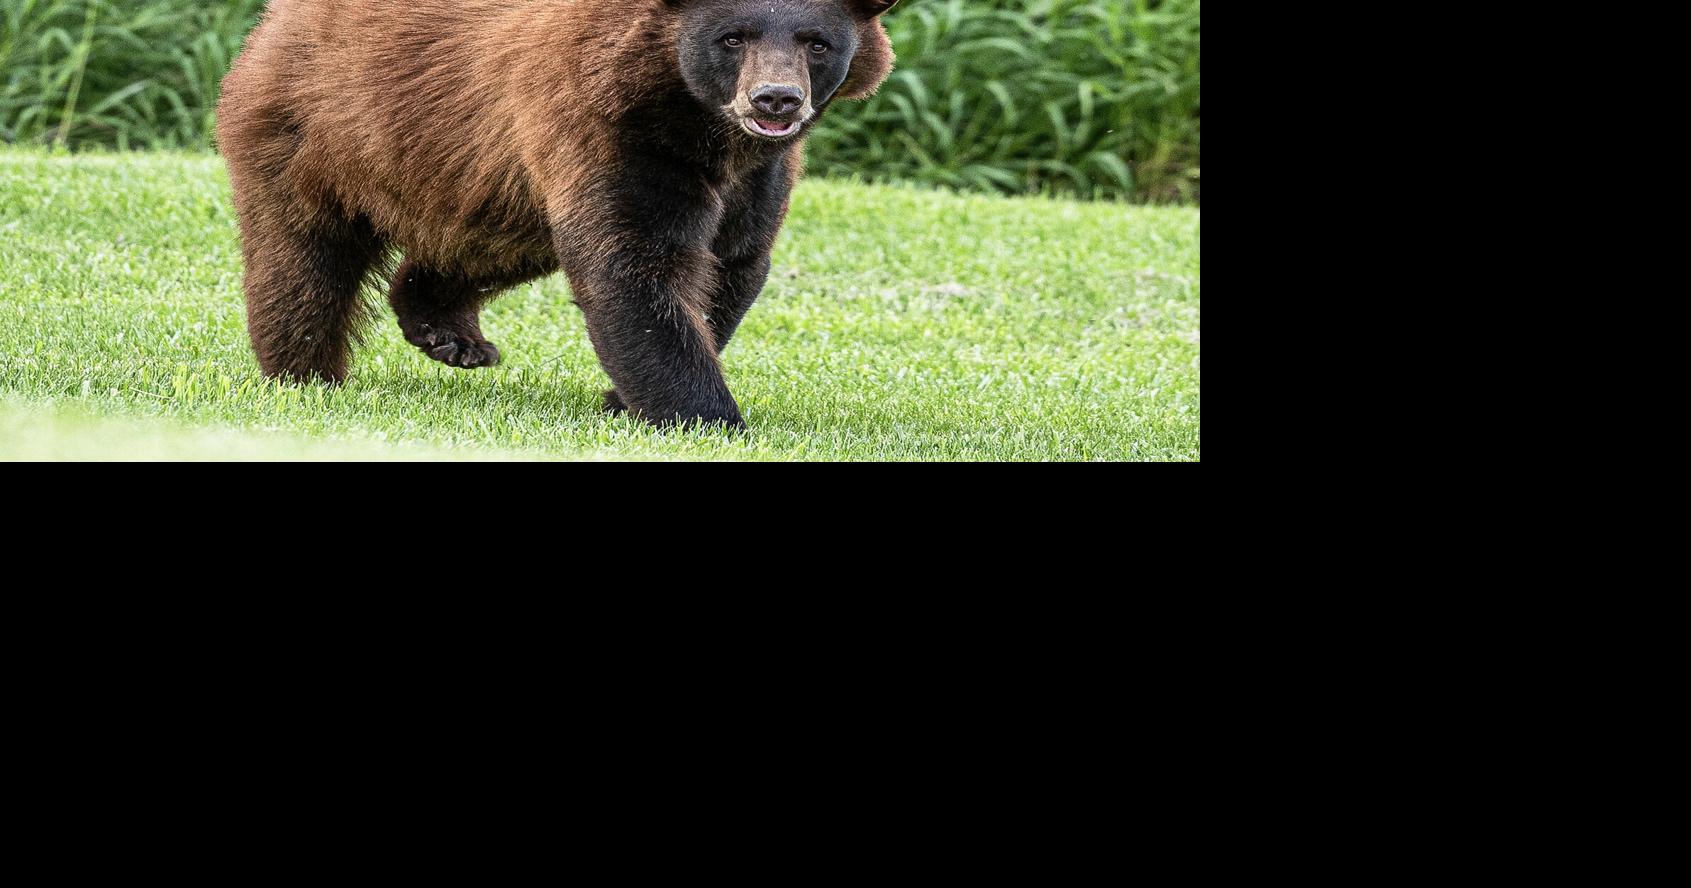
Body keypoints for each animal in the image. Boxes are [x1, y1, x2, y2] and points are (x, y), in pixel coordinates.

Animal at [216, 0, 900, 428]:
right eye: (733, 37)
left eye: (817, 42)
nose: (775, 99)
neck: (702, 128)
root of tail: (272, 23)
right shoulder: (606, 128)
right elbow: (633, 264)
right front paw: (708, 417)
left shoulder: (755, 176)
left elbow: (731, 263)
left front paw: (624, 401)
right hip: (318, 135)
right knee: (304, 261)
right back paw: (304, 373)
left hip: (488, 183)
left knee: (479, 243)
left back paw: (450, 334)